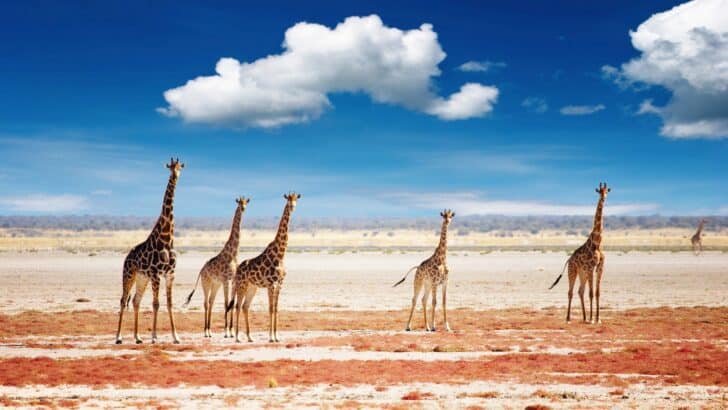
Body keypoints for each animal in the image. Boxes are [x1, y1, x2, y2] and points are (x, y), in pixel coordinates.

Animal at [115, 158, 184, 344]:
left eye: (180, 167)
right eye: (170, 167)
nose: (175, 176)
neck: (167, 239)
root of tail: (126, 257)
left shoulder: (170, 274)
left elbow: (169, 303)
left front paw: (176, 337)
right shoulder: (155, 274)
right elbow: (156, 304)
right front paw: (153, 337)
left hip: (141, 278)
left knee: (135, 301)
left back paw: (138, 337)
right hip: (129, 274)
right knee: (123, 300)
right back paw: (118, 337)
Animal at [184, 197, 250, 338]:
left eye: (246, 202)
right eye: (239, 203)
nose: (243, 208)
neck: (233, 254)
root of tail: (201, 271)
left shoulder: (233, 280)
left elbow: (232, 303)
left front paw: (231, 330)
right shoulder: (225, 280)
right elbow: (226, 303)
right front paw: (226, 332)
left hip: (215, 284)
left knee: (211, 302)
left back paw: (209, 330)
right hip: (206, 283)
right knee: (206, 303)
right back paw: (206, 331)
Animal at [226, 192, 301, 343]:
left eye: (296, 199)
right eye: (288, 200)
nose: (292, 207)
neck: (281, 254)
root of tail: (237, 270)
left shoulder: (279, 284)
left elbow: (276, 309)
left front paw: (277, 336)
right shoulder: (271, 284)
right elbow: (270, 308)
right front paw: (271, 337)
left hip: (252, 287)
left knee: (245, 306)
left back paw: (250, 337)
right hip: (242, 285)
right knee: (237, 306)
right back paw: (237, 337)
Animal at [549, 182, 609, 324]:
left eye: (607, 191)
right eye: (599, 191)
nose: (603, 198)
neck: (597, 243)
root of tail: (569, 260)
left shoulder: (599, 267)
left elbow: (597, 293)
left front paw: (598, 319)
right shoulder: (591, 267)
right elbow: (591, 293)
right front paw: (592, 319)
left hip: (582, 273)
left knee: (580, 291)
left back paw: (584, 317)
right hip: (573, 271)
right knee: (570, 292)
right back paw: (568, 318)